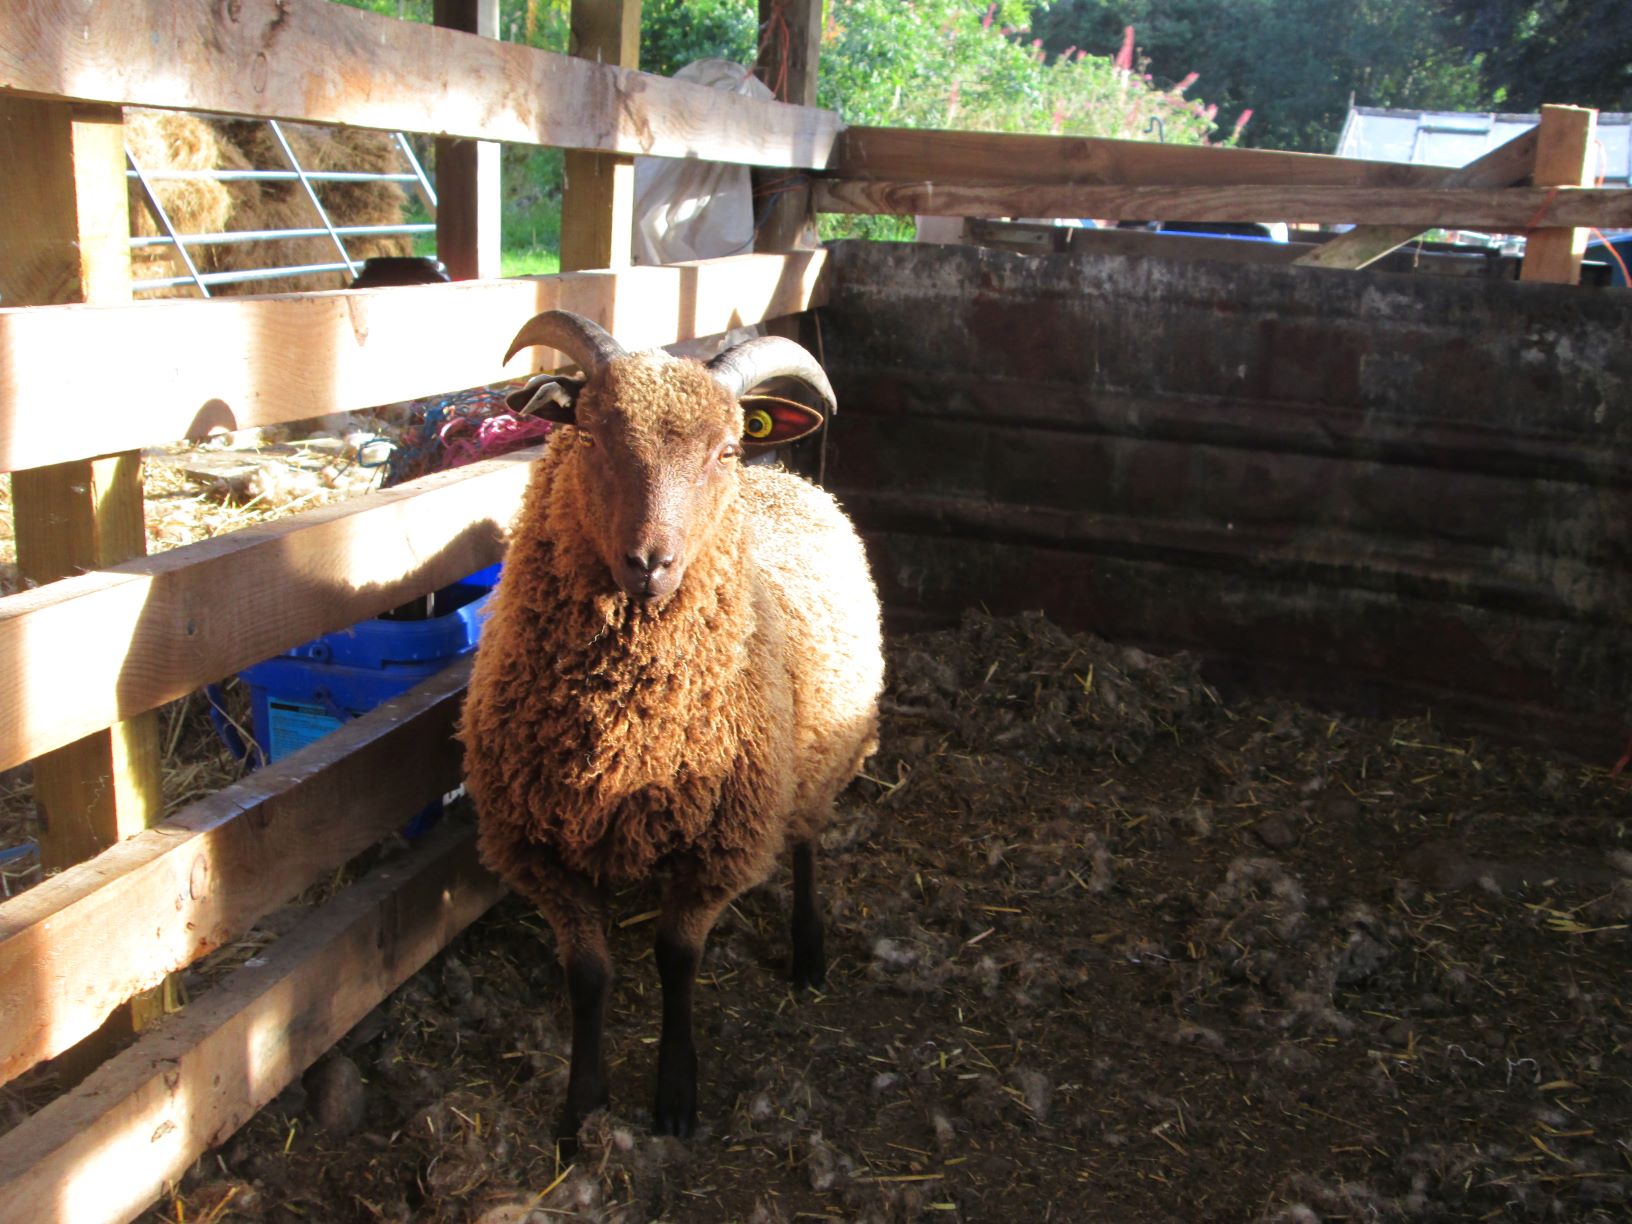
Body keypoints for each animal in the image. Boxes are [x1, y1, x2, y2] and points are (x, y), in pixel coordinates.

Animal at [459, 310, 884, 1143]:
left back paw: (808, 953)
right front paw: (582, 1107)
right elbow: (588, 975)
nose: (650, 563)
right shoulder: (538, 848)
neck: (625, 729)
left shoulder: (721, 845)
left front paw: (676, 1095)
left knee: (807, 842)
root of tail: (790, 478)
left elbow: (676, 960)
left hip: (815, 764)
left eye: (724, 451)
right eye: (590, 432)